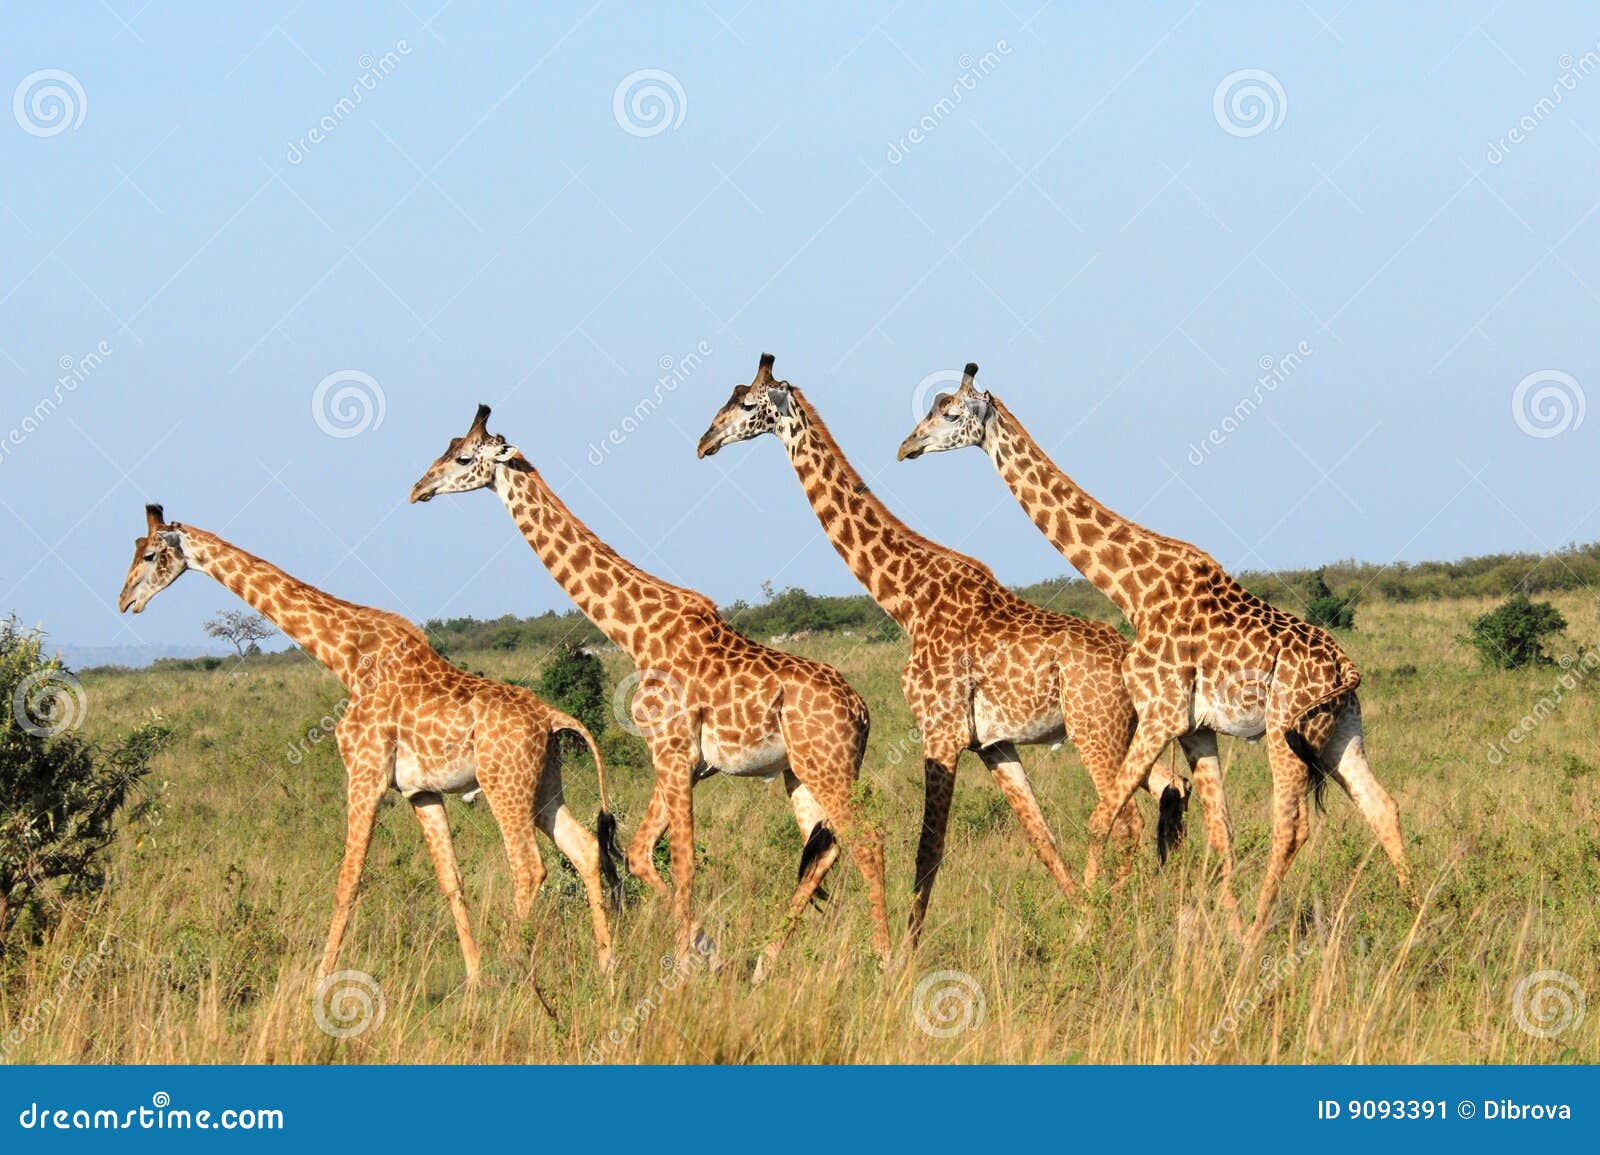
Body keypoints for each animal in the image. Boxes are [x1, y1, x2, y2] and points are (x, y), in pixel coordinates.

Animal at [116, 503, 620, 983]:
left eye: (150, 555)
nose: (124, 601)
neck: (345, 658)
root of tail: (552, 717)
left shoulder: (364, 774)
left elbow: (348, 880)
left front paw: (319, 981)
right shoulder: (421, 791)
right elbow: (451, 880)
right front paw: (473, 978)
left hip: (504, 784)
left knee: (529, 868)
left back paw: (512, 966)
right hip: (544, 783)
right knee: (583, 847)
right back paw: (604, 965)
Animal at [408, 405, 890, 981]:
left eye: (462, 457)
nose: (418, 488)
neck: (635, 634)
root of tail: (862, 709)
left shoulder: (672, 751)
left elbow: (681, 860)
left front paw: (684, 964)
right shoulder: (681, 760)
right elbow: (640, 854)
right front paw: (703, 949)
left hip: (829, 766)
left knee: (866, 842)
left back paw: (889, 960)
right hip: (800, 772)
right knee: (825, 849)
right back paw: (766, 963)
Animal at [696, 354, 1198, 945]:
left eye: (748, 405)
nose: (705, 441)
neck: (906, 598)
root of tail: (1132, 658)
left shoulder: (939, 728)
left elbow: (928, 847)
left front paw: (903, 954)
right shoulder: (992, 742)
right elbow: (1042, 839)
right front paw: (1082, 916)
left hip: (1093, 729)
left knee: (1126, 822)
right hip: (1128, 732)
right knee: (1169, 790)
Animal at [897, 365, 1413, 936]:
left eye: (949, 413)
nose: (907, 447)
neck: (1134, 589)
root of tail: (1346, 667)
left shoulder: (1159, 713)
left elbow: (1103, 819)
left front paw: (1090, 925)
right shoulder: (1194, 728)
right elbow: (1220, 830)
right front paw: (1220, 930)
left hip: (1285, 729)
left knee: (1293, 826)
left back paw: (1260, 933)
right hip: (1343, 732)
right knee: (1383, 806)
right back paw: (1414, 917)